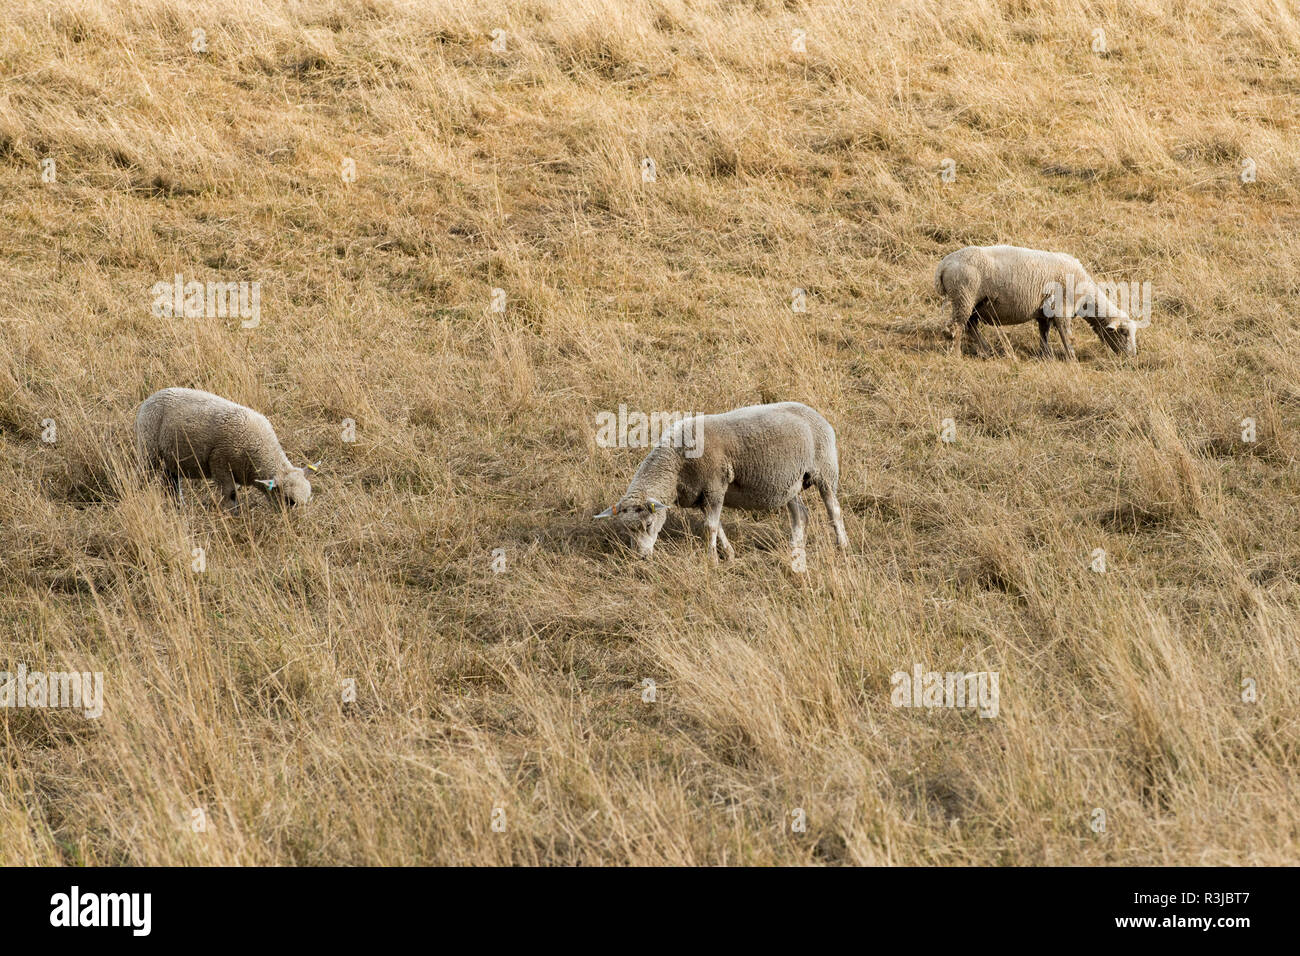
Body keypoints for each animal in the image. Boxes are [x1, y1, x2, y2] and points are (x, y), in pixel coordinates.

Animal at [134, 387, 319, 512]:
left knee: (170, 481)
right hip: (148, 447)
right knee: (143, 475)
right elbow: (230, 495)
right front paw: (233, 516)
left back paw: (179, 506)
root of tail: (151, 398)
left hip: (173, 456)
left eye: (309, 497)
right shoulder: (220, 464)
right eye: (290, 500)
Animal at [595, 401, 849, 564]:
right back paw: (794, 548)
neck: (676, 464)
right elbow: (718, 527)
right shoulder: (703, 496)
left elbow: (711, 527)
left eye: (648, 524)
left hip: (825, 470)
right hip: (790, 483)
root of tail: (816, 414)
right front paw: (729, 554)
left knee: (833, 509)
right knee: (800, 513)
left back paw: (842, 545)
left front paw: (712, 560)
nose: (641, 557)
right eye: (626, 529)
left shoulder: (715, 486)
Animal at [935, 245, 1150, 359]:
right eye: (1123, 333)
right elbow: (1066, 334)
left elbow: (1044, 332)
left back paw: (986, 351)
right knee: (957, 326)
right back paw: (956, 354)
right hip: (964, 295)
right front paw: (1071, 358)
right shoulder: (1062, 308)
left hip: (974, 303)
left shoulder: (1044, 311)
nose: (1132, 357)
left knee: (970, 325)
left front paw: (1046, 355)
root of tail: (944, 265)